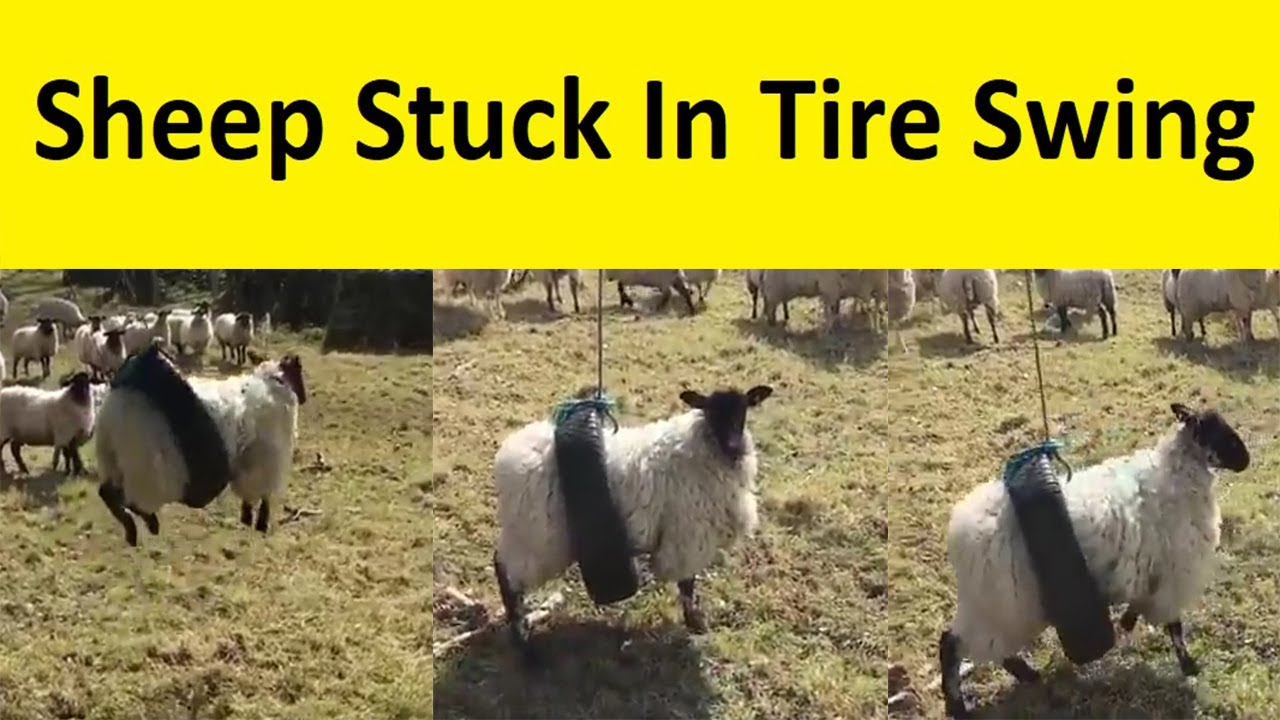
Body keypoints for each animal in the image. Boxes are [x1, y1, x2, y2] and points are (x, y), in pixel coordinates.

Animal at [94, 347, 307, 545]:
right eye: (299, 371)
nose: (304, 398)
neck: (274, 384)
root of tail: (113, 410)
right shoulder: (266, 461)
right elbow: (263, 497)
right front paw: (259, 523)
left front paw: (248, 519)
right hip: (150, 471)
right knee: (130, 501)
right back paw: (148, 524)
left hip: (115, 461)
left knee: (108, 493)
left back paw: (133, 531)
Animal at [493, 384, 774, 658]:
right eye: (711, 412)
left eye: (743, 411)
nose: (734, 445)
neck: (706, 450)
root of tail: (507, 461)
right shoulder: (687, 536)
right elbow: (687, 585)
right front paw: (695, 622)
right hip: (535, 538)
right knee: (506, 575)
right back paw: (523, 641)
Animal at [939, 403, 1250, 719]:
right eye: (1217, 433)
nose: (1245, 460)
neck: (1175, 476)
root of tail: (960, 536)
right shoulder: (1173, 575)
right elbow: (1175, 626)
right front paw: (1188, 666)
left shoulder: (1152, 572)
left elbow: (1142, 605)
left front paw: (1128, 621)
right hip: (1002, 606)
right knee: (954, 645)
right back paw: (960, 705)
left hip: (993, 606)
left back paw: (1027, 676)